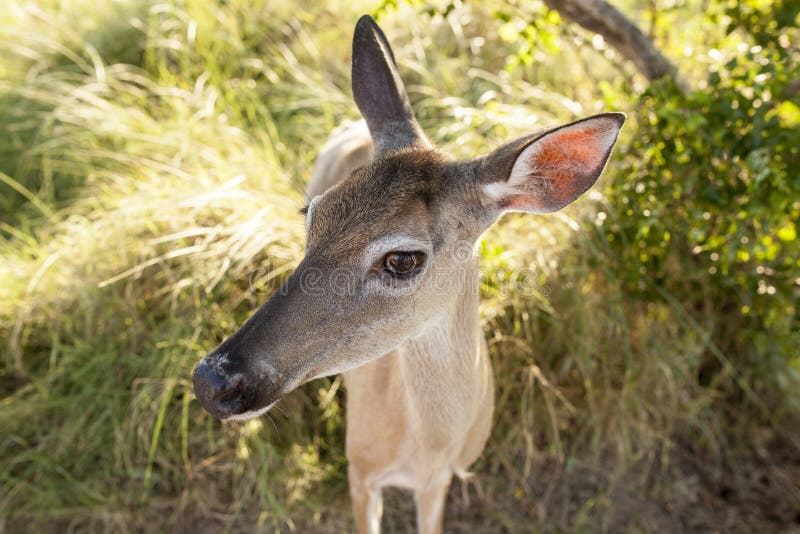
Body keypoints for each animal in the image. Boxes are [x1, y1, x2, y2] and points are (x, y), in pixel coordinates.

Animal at [192, 14, 625, 534]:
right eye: (310, 215)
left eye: (402, 259)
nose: (211, 382)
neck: (427, 447)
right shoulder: (360, 471)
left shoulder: (441, 481)